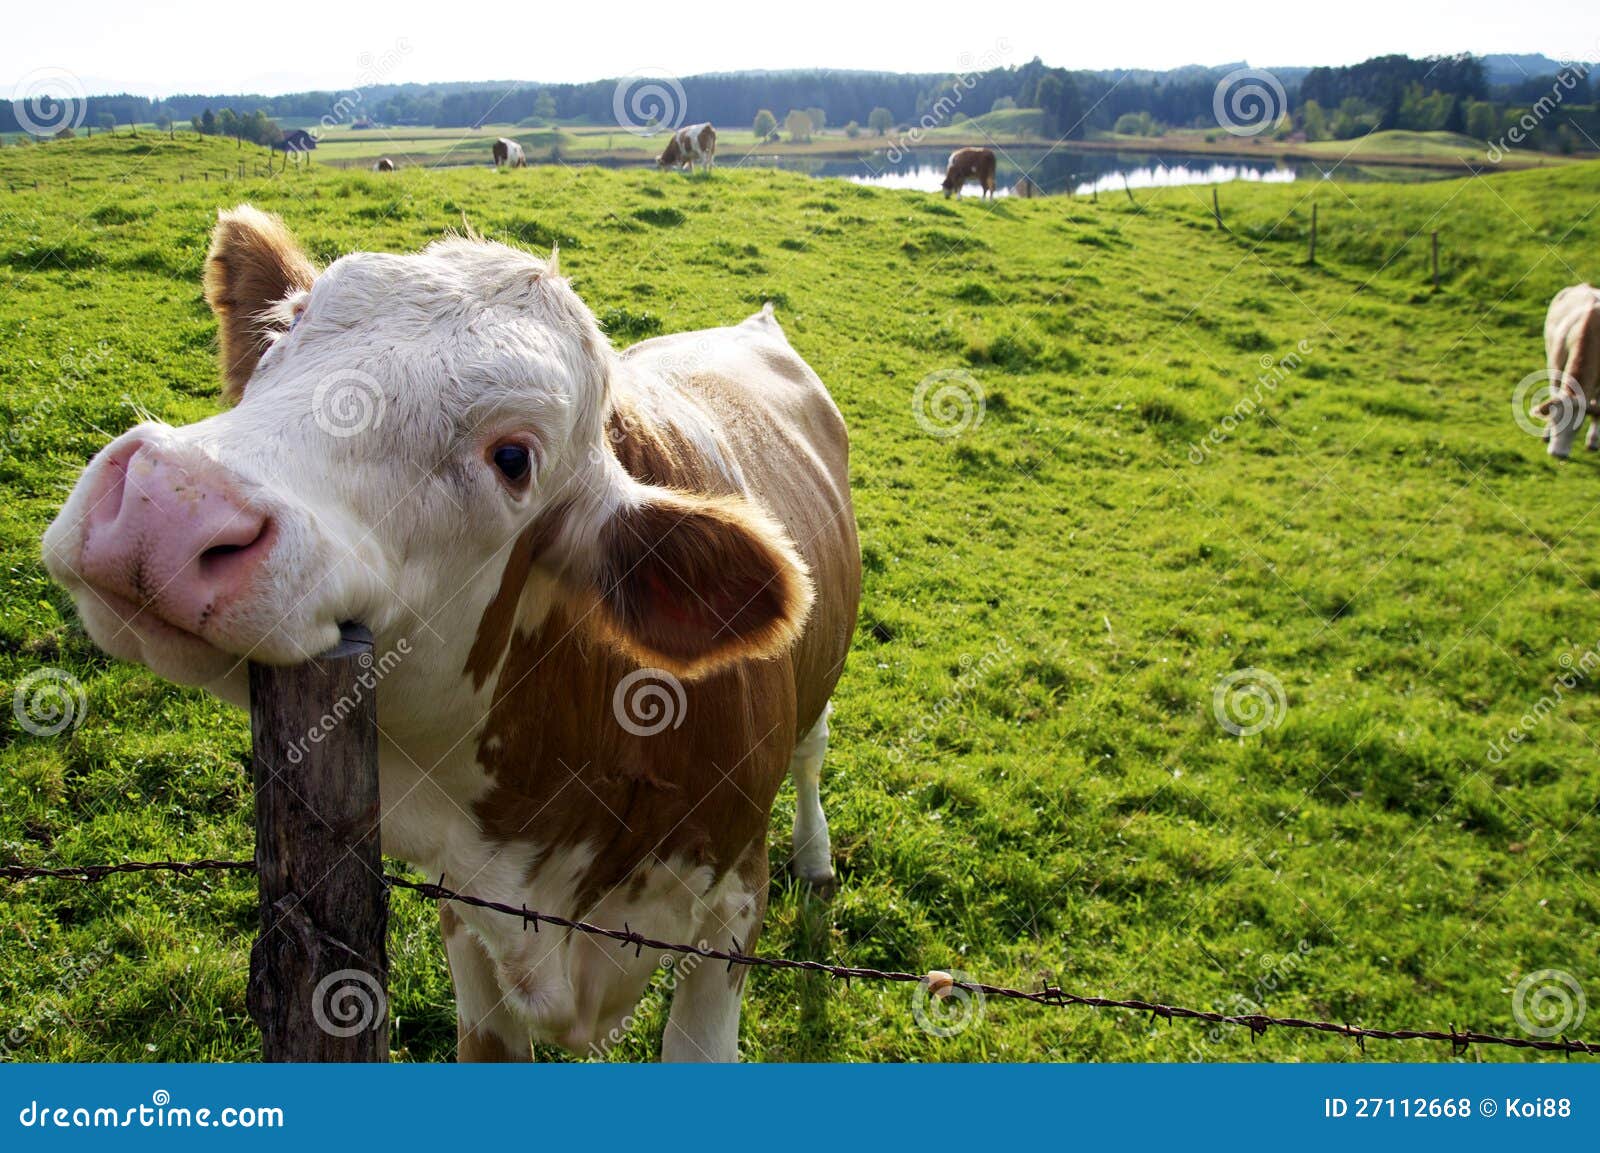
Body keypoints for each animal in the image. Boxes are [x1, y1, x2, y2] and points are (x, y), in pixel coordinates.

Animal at [41, 205, 862, 1061]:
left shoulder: (730, 916)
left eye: (514, 458)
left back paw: (817, 856)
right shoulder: (469, 917)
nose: (168, 502)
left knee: (812, 751)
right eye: (289, 326)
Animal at [1535, 284, 1600, 457]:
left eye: (1578, 427)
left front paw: (1593, 441)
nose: (1558, 454)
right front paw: (1546, 434)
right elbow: (1554, 394)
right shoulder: (1556, 365)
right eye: (1554, 420)